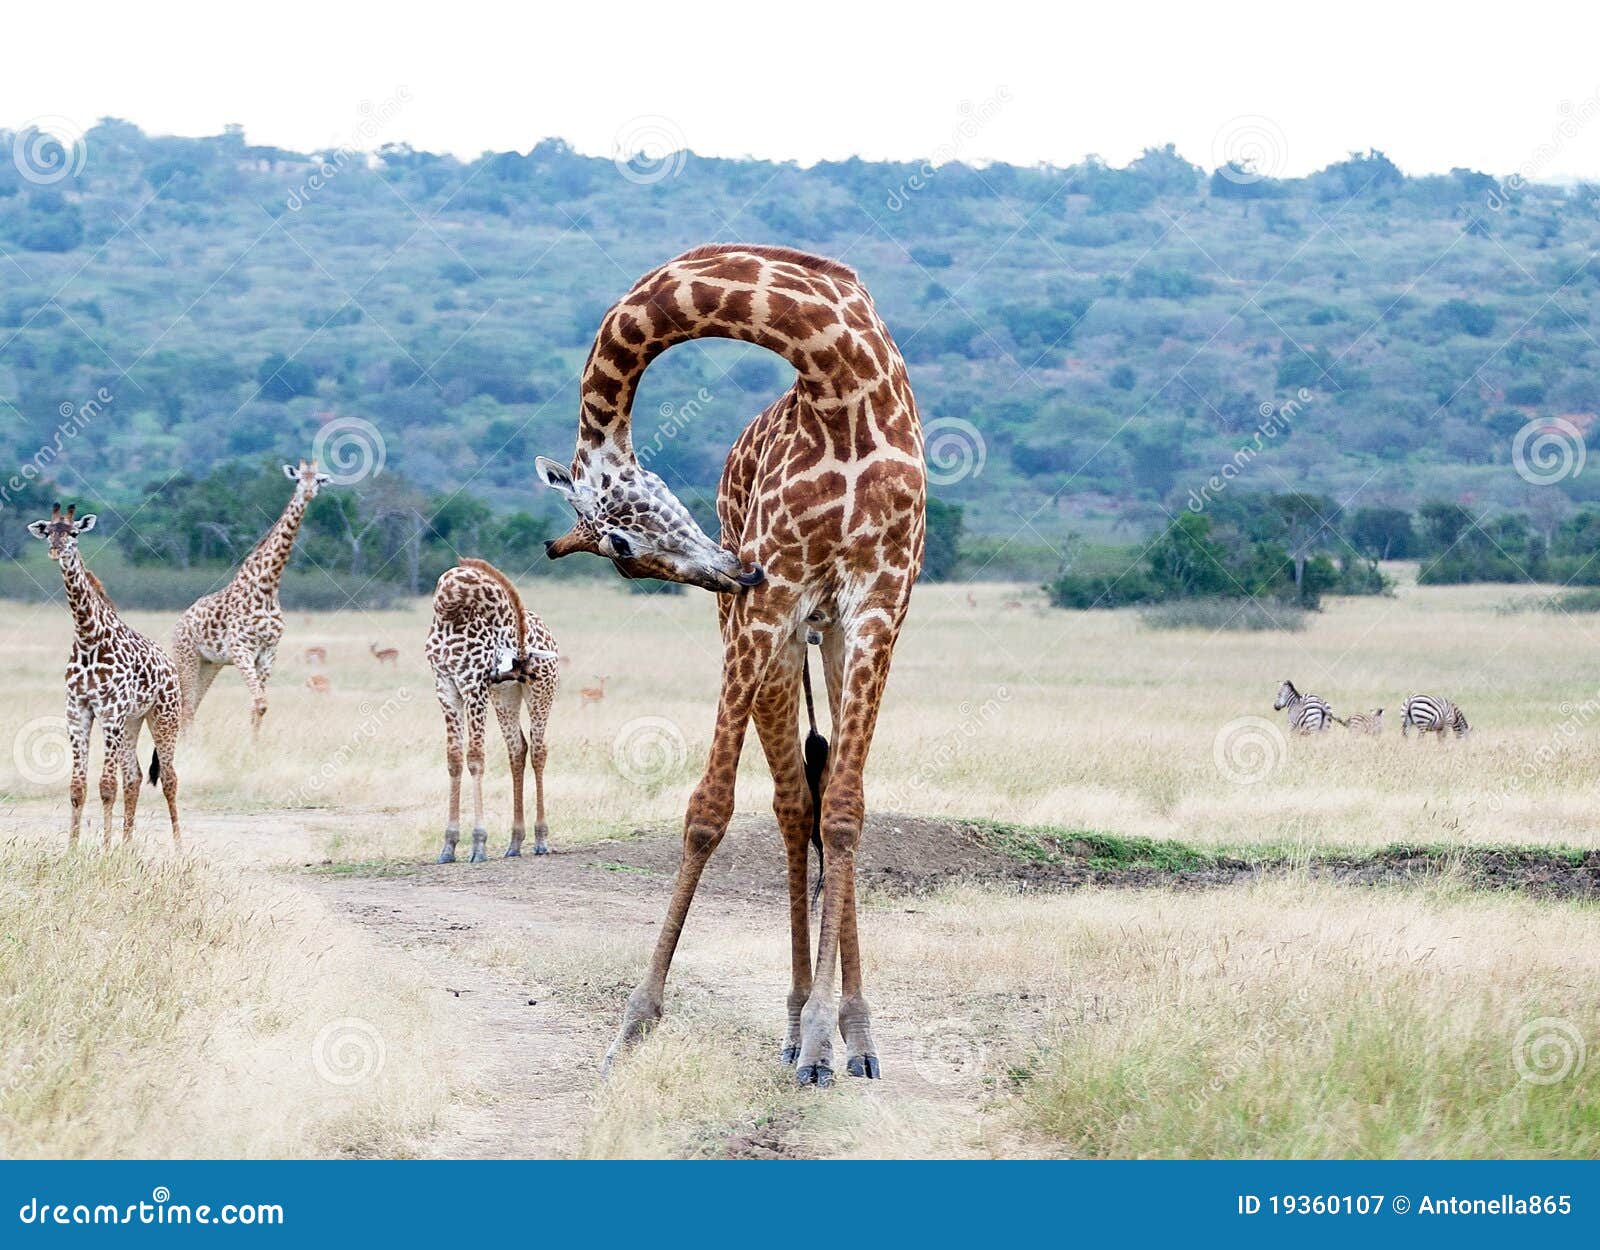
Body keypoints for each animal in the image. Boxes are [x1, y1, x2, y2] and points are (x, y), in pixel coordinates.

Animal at [28, 505, 182, 849]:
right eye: (49, 532)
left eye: (74, 533)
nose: (55, 550)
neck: (89, 638)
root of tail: (171, 668)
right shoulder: (78, 711)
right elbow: (78, 788)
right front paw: (73, 850)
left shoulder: (109, 711)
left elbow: (107, 786)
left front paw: (105, 850)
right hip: (133, 721)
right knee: (134, 776)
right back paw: (128, 847)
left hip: (164, 717)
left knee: (169, 777)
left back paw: (179, 849)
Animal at [171, 460, 331, 733]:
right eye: (298, 479)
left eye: (319, 480)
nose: (309, 493)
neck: (268, 587)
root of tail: (180, 622)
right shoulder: (241, 649)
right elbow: (260, 703)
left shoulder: (268, 652)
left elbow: (259, 707)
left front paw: (255, 743)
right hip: (187, 657)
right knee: (187, 708)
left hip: (209, 663)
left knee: (191, 709)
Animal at [425, 558, 561, 863]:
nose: (524, 670)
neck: (449, 609)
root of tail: (549, 633)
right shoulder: (446, 687)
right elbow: (454, 759)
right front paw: (448, 846)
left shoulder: (474, 685)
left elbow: (475, 758)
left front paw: (478, 845)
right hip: (504, 697)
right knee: (517, 749)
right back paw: (515, 842)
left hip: (541, 693)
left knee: (539, 750)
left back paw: (541, 840)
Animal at [537, 244, 926, 1085]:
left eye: (618, 546)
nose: (731, 570)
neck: (841, 376)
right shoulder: (776, 597)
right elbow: (708, 812)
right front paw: (633, 1028)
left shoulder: (881, 602)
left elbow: (846, 813)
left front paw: (837, 1038)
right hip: (774, 639)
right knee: (790, 804)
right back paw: (792, 1022)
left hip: (831, 640)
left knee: (825, 800)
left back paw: (841, 1035)